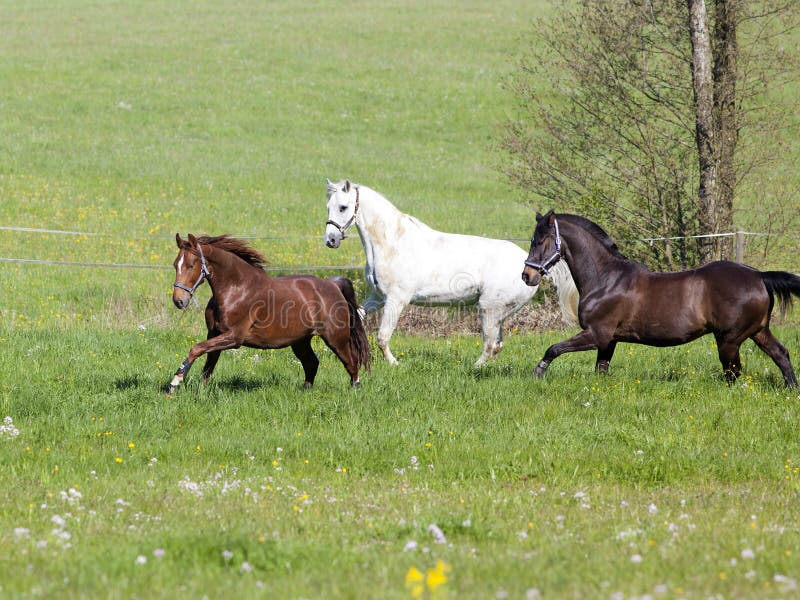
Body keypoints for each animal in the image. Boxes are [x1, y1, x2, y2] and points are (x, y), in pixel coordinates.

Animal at [168, 233, 370, 393]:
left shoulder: (234, 337)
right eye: (175, 264)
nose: (179, 301)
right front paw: (199, 391)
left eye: (191, 265)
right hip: (300, 341)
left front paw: (174, 383)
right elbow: (208, 367)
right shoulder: (214, 334)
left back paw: (356, 390)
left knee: (351, 363)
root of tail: (333, 285)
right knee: (312, 363)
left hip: (336, 338)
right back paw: (305, 391)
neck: (235, 289)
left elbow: (196, 349)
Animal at [323, 179, 579, 367]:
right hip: (500, 311)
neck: (392, 243)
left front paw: (394, 364)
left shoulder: (397, 299)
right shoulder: (377, 297)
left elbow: (383, 337)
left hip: (489, 308)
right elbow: (357, 314)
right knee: (497, 345)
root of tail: (531, 266)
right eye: (328, 207)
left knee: (489, 345)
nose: (330, 240)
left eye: (343, 207)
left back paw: (474, 368)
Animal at [521, 211, 800, 387]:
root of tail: (758, 276)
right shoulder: (609, 340)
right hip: (758, 331)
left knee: (733, 373)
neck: (606, 279)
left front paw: (538, 372)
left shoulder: (596, 334)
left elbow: (554, 348)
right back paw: (791, 390)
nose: (527, 275)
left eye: (541, 241)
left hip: (729, 340)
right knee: (781, 355)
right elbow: (600, 370)